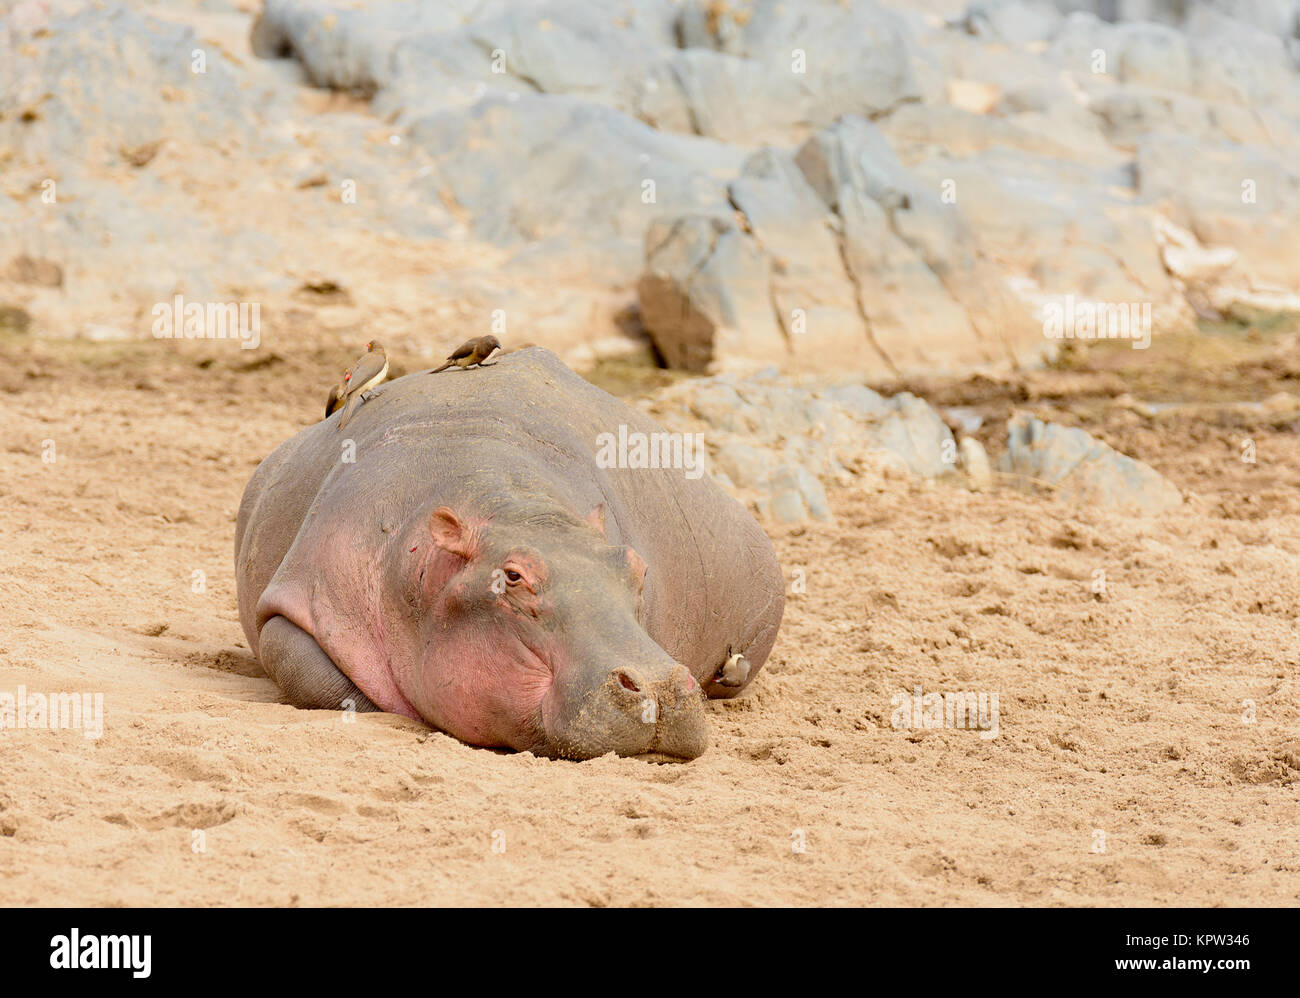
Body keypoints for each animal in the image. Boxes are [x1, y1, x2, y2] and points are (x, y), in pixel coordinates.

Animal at [234, 348, 784, 760]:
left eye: (636, 567)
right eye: (513, 577)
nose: (661, 688)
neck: (512, 504)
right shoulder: (304, 596)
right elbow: (314, 673)